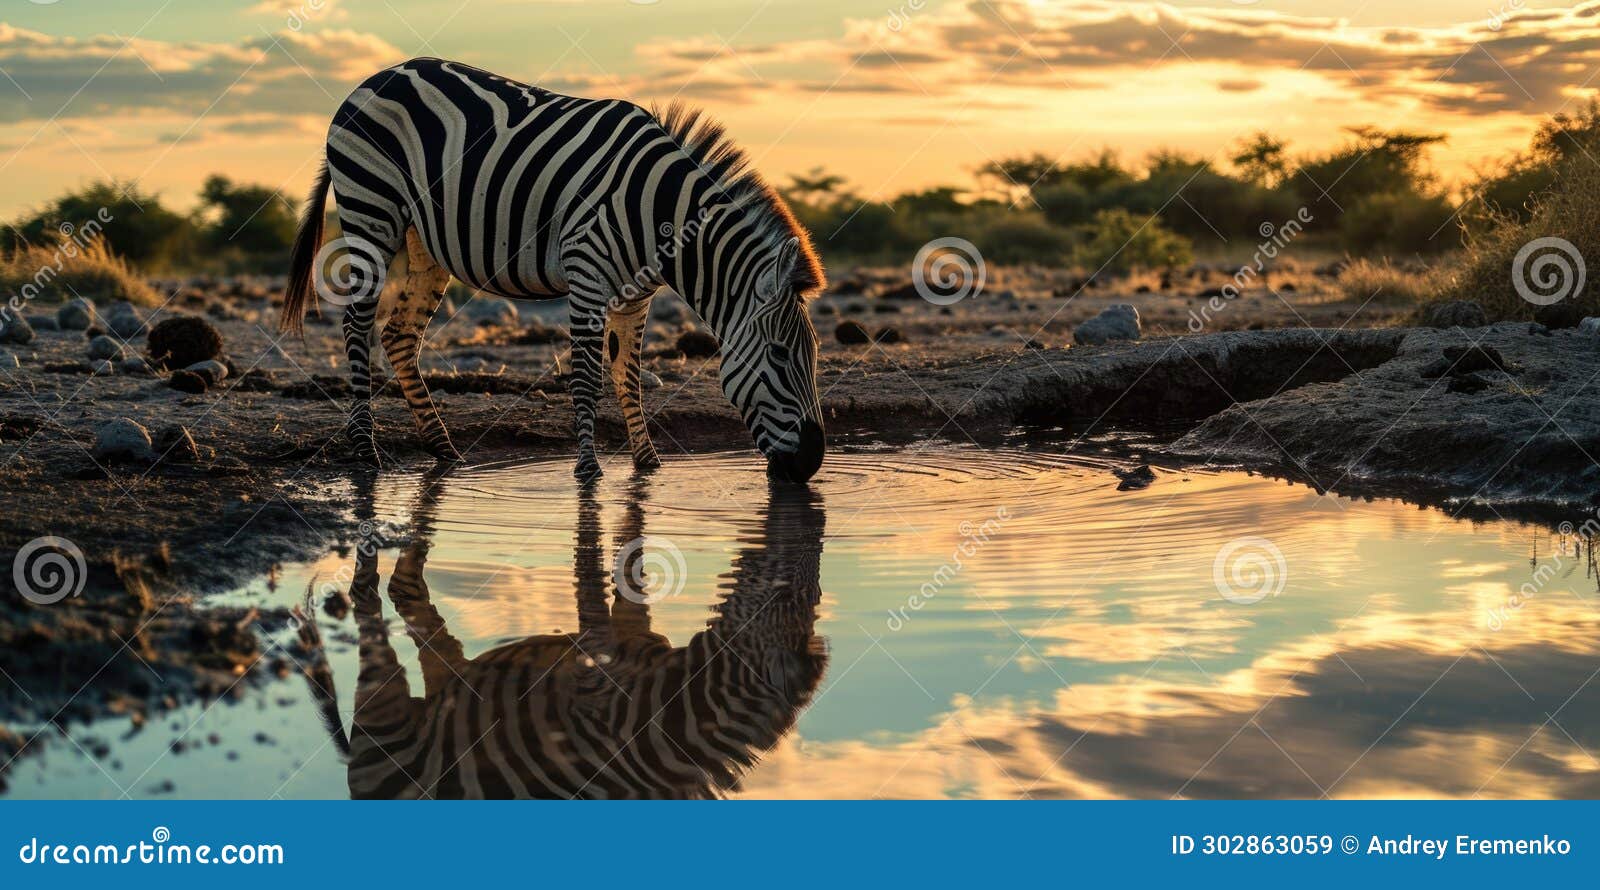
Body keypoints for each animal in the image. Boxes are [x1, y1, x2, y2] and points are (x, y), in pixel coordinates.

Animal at [280, 57, 827, 482]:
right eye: (781, 355)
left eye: (813, 355)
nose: (812, 462)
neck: (659, 214)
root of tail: (375, 77)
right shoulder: (587, 274)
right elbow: (586, 377)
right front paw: (588, 470)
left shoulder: (636, 296)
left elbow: (627, 373)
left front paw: (647, 464)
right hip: (371, 207)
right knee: (357, 324)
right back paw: (365, 451)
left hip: (424, 242)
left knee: (399, 335)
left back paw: (445, 450)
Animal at [297, 469, 828, 799]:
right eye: (790, 595)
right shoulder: (595, 675)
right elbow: (590, 573)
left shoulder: (635, 637)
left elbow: (629, 560)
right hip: (384, 716)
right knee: (374, 612)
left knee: (422, 626)